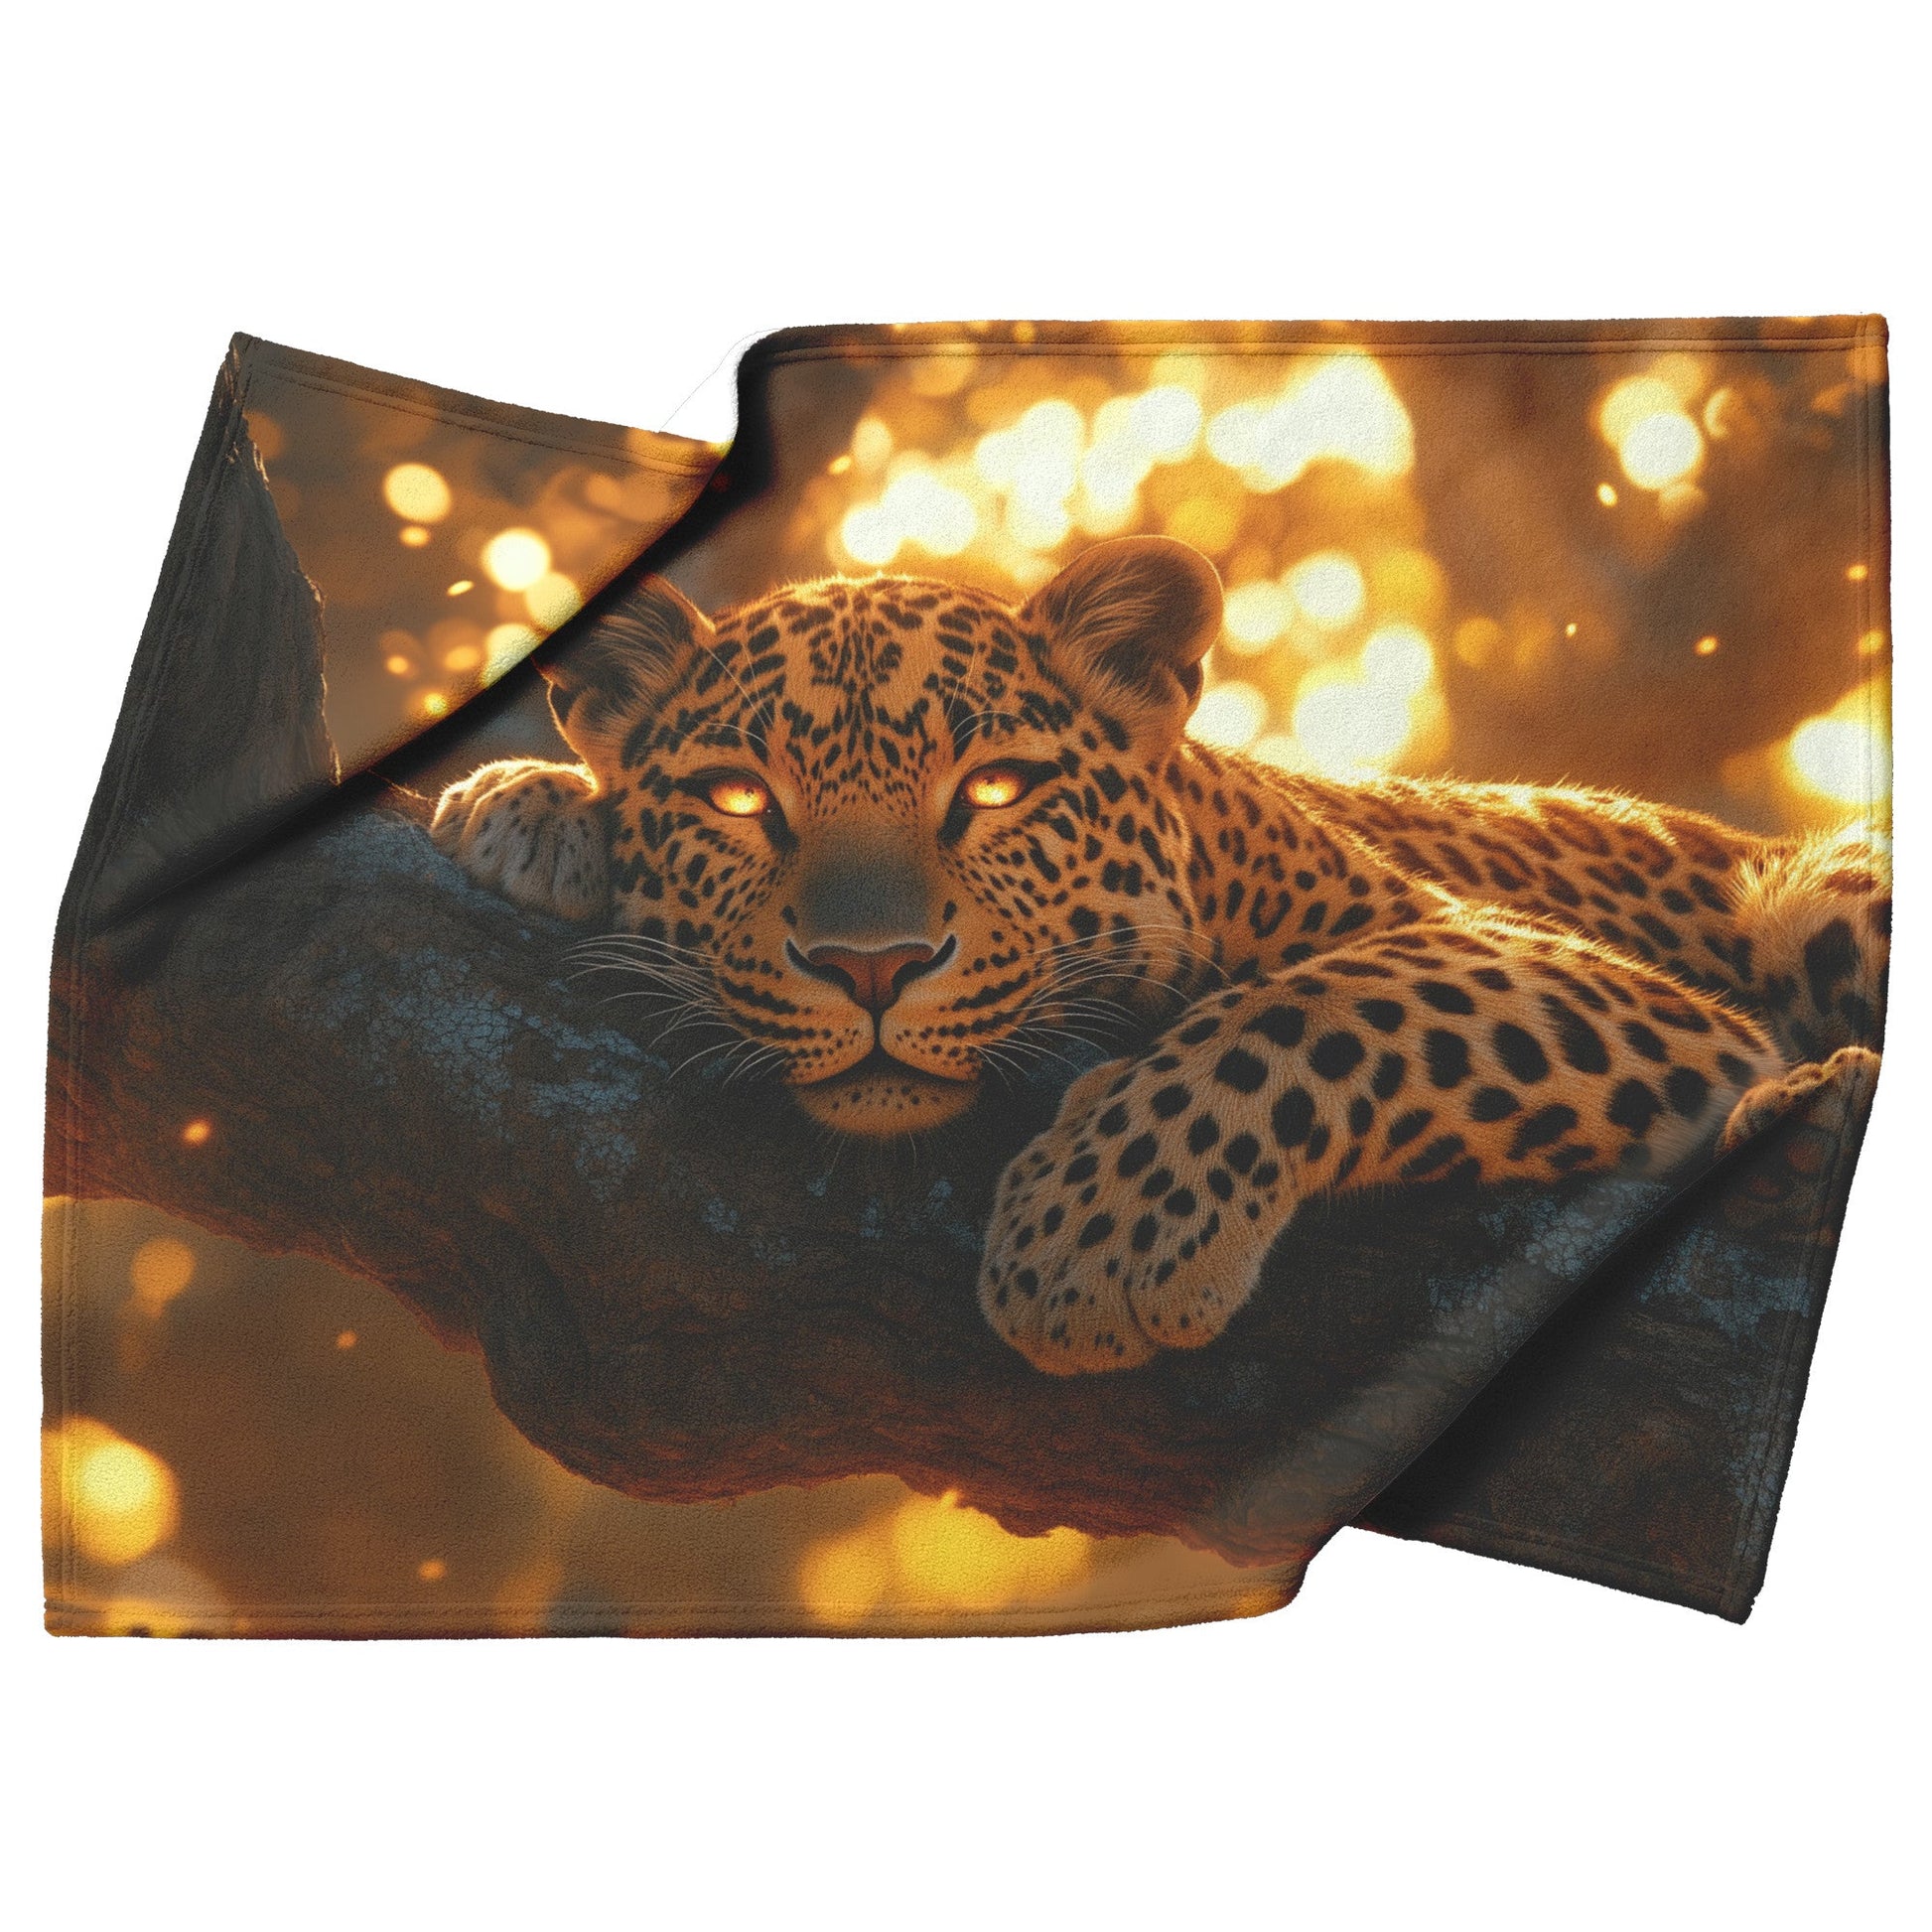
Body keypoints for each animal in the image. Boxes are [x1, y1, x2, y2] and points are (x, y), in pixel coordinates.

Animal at [431, 536, 1888, 1375]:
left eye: (995, 790)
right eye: (739, 802)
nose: (872, 966)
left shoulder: (1597, 986)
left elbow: (1327, 1004)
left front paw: (1099, 1234)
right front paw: (526, 807)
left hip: (1824, 890)